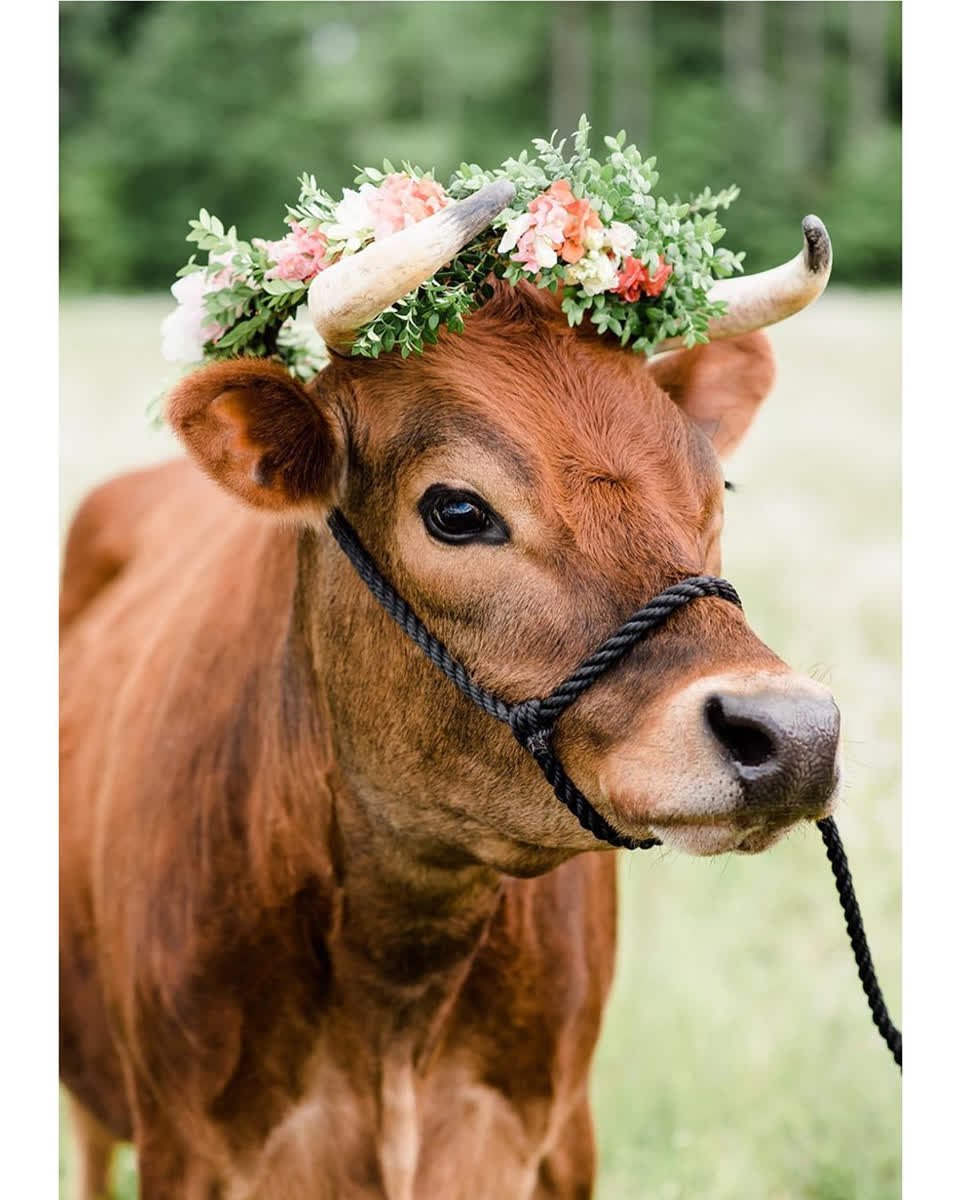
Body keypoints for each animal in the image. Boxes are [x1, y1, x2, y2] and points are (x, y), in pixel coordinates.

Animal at [60, 182, 839, 1199]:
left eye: (715, 489)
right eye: (457, 510)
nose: (793, 734)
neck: (398, 988)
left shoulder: (560, 1140)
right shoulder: (184, 1150)